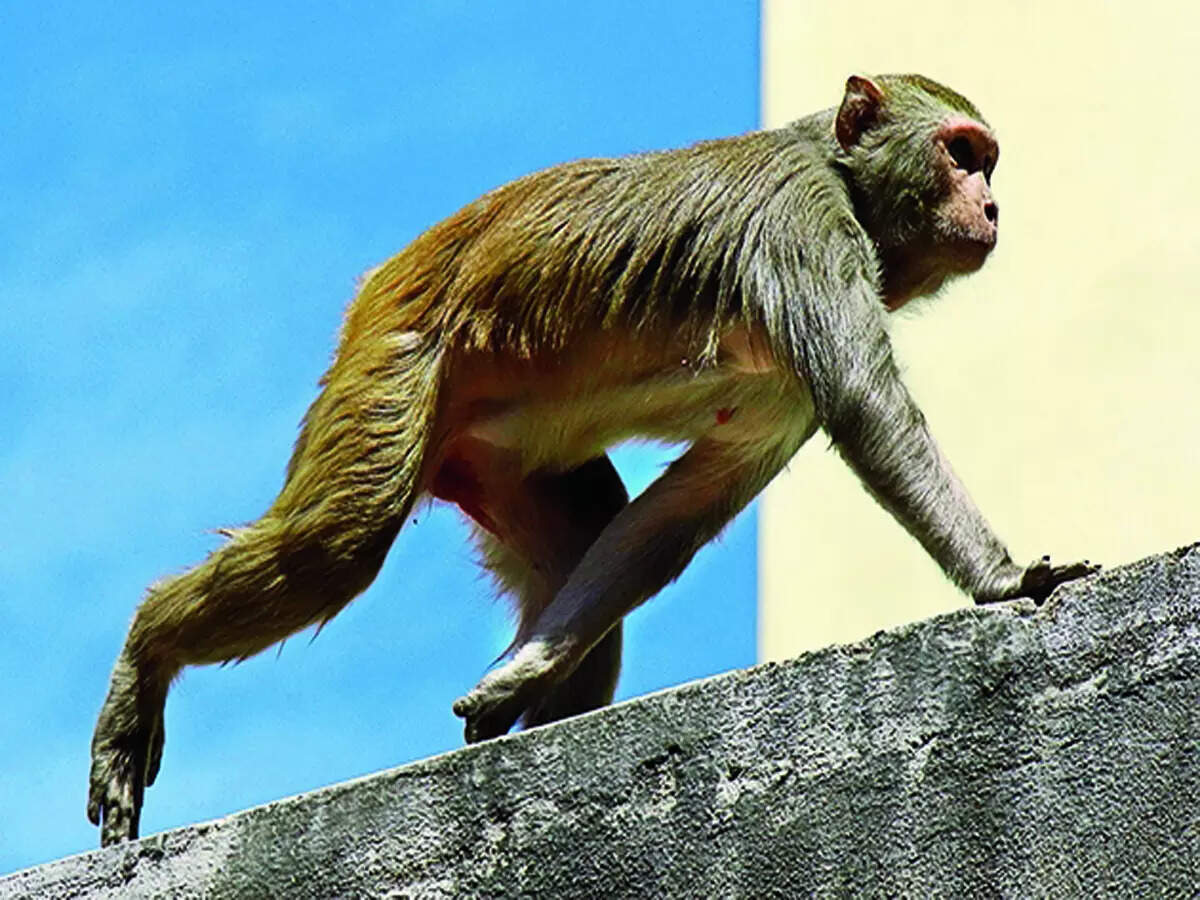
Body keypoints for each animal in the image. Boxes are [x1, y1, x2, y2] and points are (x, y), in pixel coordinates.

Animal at [88, 73, 1098, 846]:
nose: (992, 205)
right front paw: (1008, 581)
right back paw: (148, 650)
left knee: (589, 545)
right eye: (961, 154)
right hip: (392, 363)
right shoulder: (803, 232)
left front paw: (518, 675)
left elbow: (679, 512)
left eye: (987, 162)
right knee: (338, 542)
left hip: (502, 459)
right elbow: (869, 411)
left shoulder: (785, 378)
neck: (839, 177)